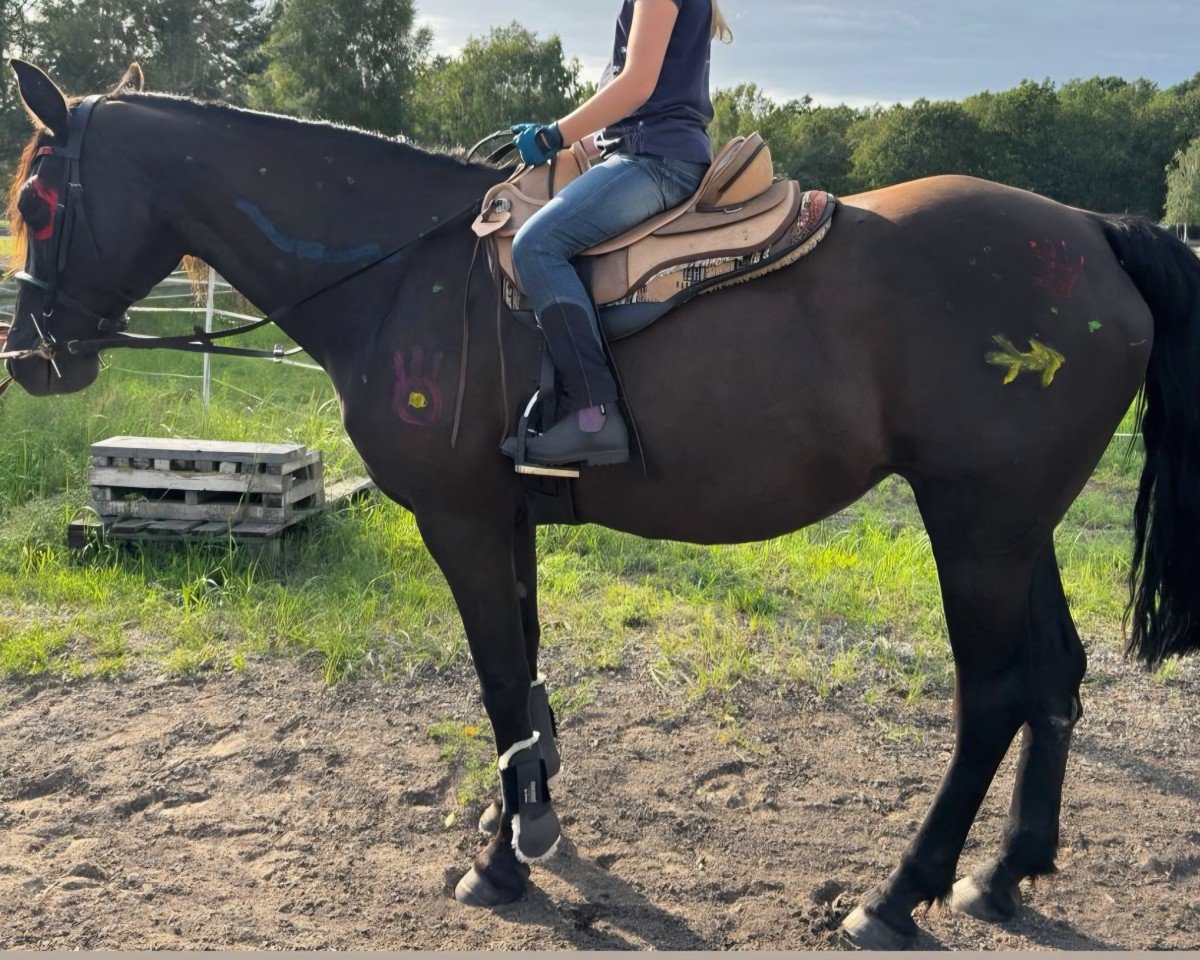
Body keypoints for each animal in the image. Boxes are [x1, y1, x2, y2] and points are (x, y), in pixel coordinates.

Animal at [5, 60, 1199, 949]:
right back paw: (1004, 876)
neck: (402, 273)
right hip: (1016, 523)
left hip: (976, 525)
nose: (30, 359)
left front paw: (502, 862)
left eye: (33, 200)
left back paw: (898, 895)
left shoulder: (461, 522)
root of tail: (1090, 233)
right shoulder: (510, 520)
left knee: (993, 694)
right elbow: (527, 684)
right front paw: (532, 822)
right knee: (1056, 675)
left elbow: (497, 682)